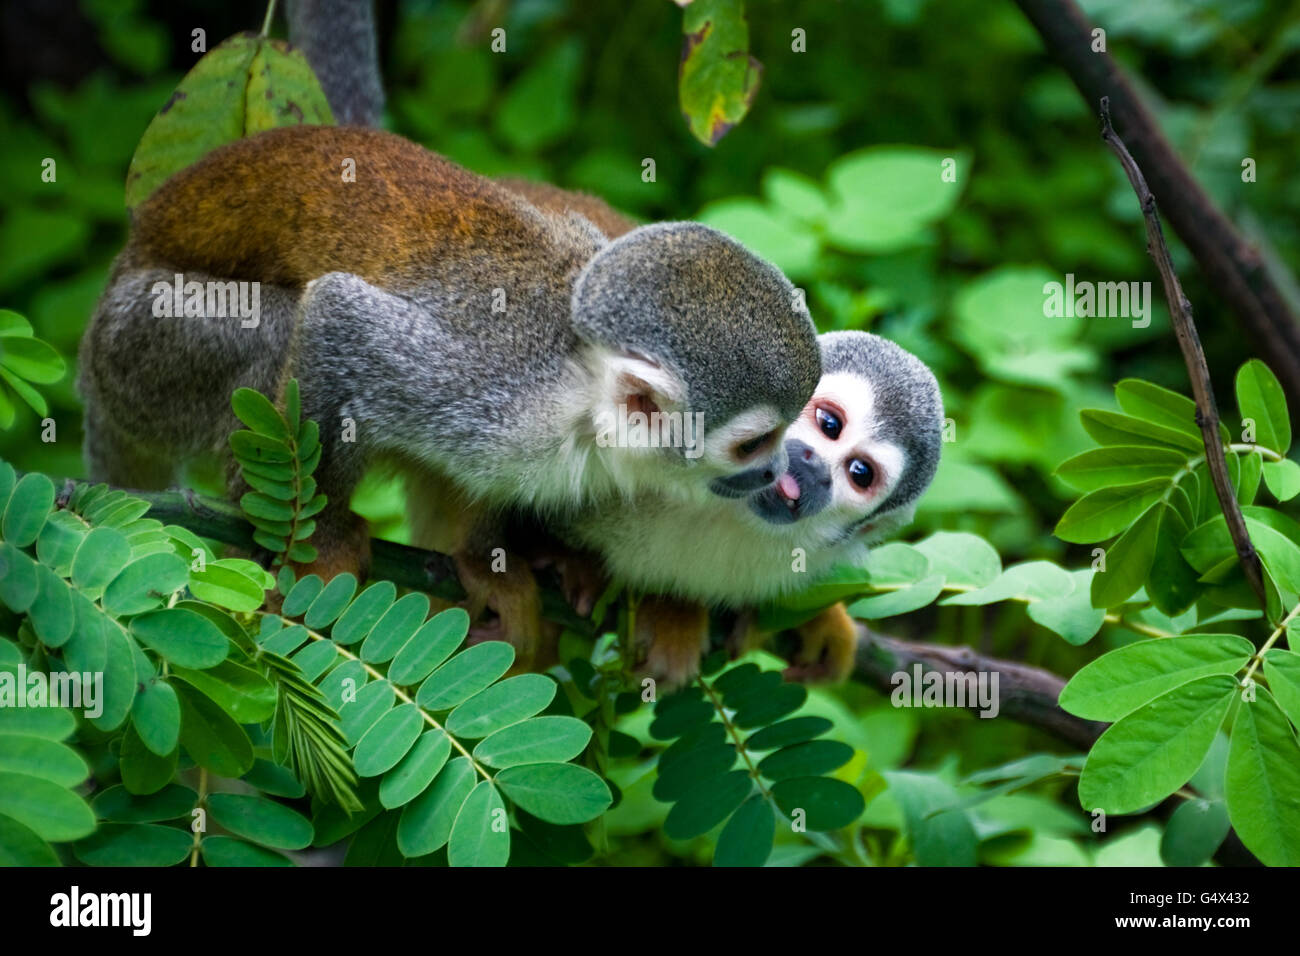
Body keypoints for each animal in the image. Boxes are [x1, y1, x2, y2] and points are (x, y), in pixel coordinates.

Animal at [76, 127, 816, 671]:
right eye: (754, 443)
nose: (779, 475)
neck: (578, 389)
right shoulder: (495, 390)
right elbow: (338, 315)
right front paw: (320, 542)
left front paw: (491, 560)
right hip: (144, 347)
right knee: (282, 327)